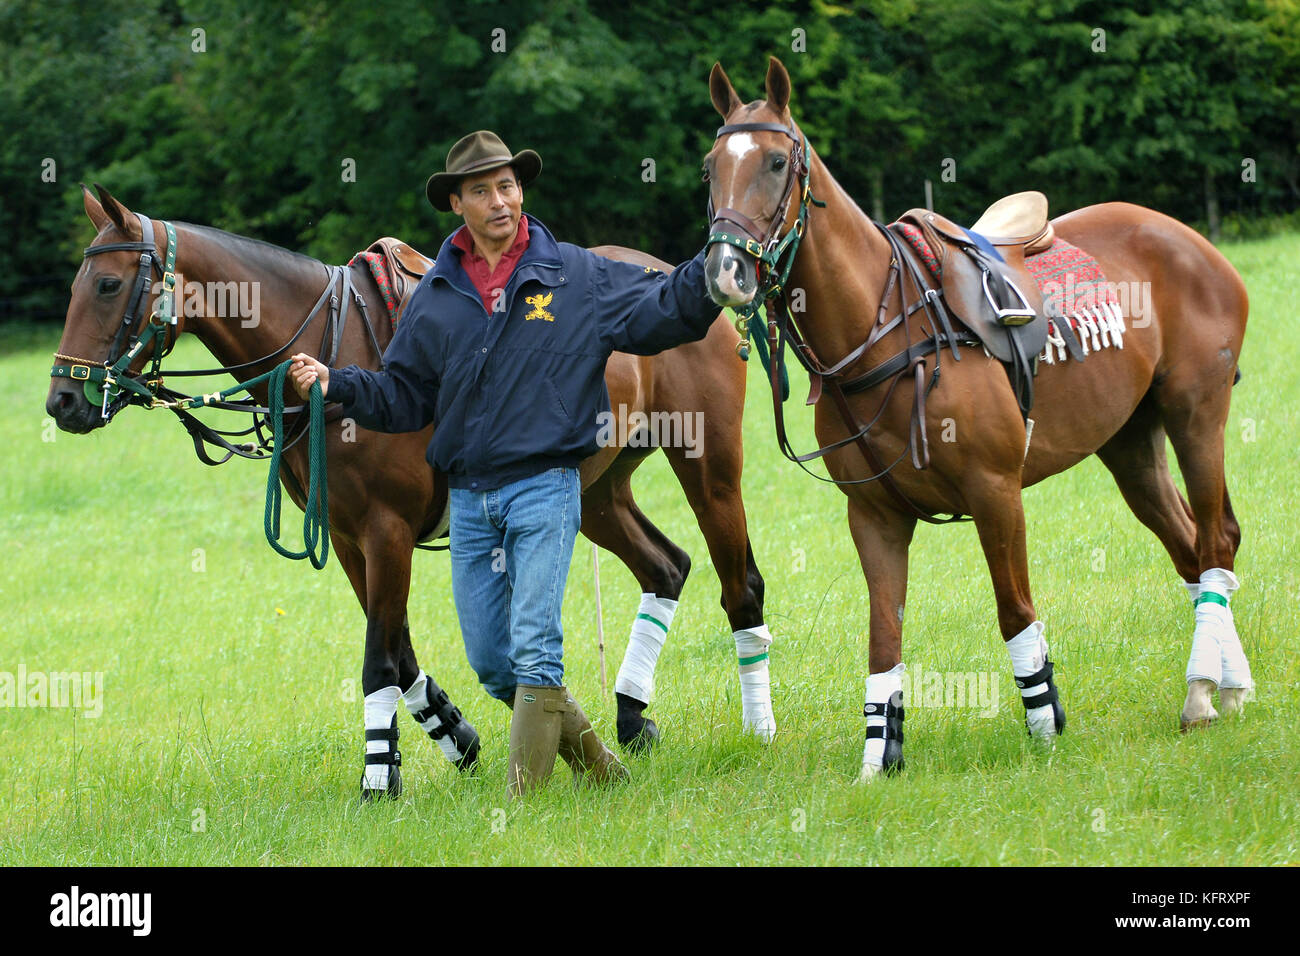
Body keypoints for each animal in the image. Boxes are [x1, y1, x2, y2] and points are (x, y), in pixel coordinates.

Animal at [46, 183, 771, 800]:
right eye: (75, 284)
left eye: (108, 284)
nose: (62, 402)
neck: (334, 357)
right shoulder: (345, 537)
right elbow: (398, 653)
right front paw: (453, 733)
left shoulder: (386, 529)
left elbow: (379, 660)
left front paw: (379, 778)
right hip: (598, 491)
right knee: (665, 565)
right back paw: (630, 718)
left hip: (709, 466)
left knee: (739, 583)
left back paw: (756, 723)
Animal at [700, 57, 1252, 780]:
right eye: (709, 169)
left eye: (772, 162)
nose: (724, 270)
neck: (879, 329)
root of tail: (1191, 238)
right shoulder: (874, 514)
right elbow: (883, 638)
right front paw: (878, 759)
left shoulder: (995, 491)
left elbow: (1015, 611)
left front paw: (1046, 730)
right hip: (1131, 442)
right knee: (1190, 545)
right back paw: (1226, 688)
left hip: (1197, 415)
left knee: (1216, 541)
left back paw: (1202, 693)